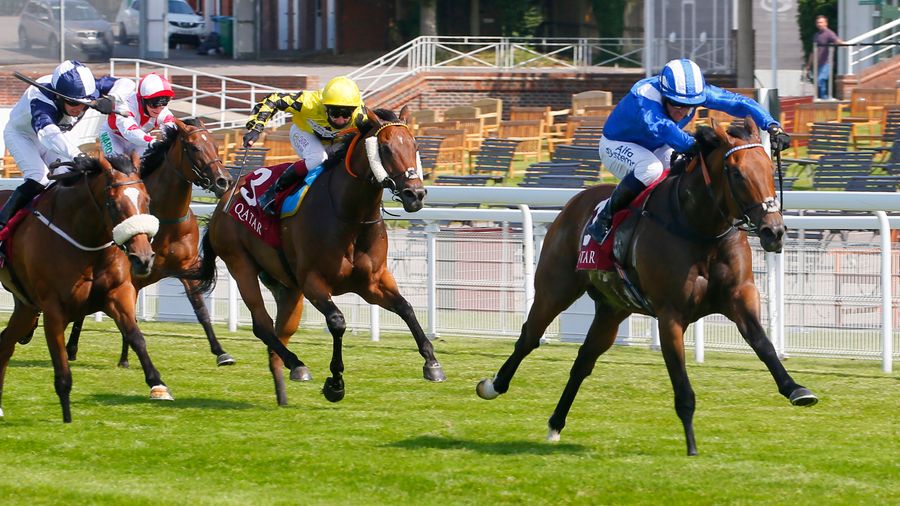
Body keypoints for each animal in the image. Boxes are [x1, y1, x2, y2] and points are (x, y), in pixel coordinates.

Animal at [0, 155, 167, 422]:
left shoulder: (118, 293)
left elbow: (136, 337)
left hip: (25, 306)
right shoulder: (53, 310)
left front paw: (158, 385)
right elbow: (62, 370)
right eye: (112, 203)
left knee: (5, 344)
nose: (143, 258)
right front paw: (67, 419)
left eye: (147, 199)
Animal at [64, 118, 234, 368]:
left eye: (215, 144)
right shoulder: (130, 275)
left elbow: (201, 309)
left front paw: (221, 352)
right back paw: (71, 347)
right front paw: (125, 357)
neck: (166, 220)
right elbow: (128, 316)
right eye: (194, 148)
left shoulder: (186, 266)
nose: (224, 180)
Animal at [193, 107, 444, 406]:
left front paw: (432, 363)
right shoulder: (313, 282)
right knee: (262, 325)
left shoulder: (373, 283)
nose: (415, 194)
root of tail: (222, 202)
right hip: (240, 265)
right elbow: (337, 322)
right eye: (384, 148)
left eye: (415, 146)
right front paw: (335, 383)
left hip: (288, 288)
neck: (350, 216)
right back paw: (297, 364)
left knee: (280, 332)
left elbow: (406, 308)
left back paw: (284, 386)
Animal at [476, 120, 818, 455]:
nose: (774, 231)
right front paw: (692, 448)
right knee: (529, 338)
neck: (700, 228)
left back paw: (555, 424)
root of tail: (574, 202)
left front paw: (796, 389)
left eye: (769, 168)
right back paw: (493, 386)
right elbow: (681, 382)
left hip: (612, 310)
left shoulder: (740, 296)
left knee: (583, 360)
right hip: (555, 288)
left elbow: (763, 344)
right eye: (736, 173)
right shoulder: (670, 314)